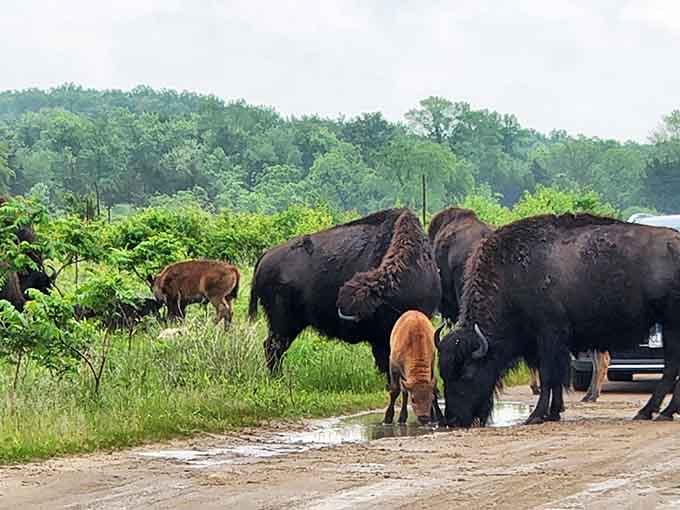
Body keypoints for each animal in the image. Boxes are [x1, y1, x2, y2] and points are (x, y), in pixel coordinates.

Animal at [437, 212, 680, 426]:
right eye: (443, 374)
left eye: (467, 373)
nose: (453, 420)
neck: (512, 275)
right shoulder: (546, 345)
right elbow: (555, 379)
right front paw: (554, 412)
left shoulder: (549, 337)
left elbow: (549, 377)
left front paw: (536, 415)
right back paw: (659, 412)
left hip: (671, 324)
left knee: (671, 367)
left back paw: (652, 412)